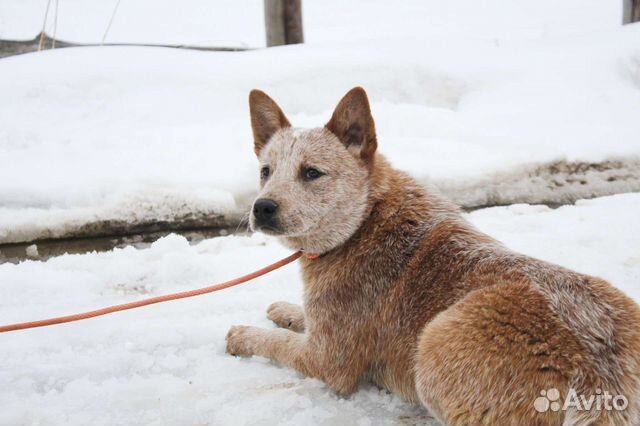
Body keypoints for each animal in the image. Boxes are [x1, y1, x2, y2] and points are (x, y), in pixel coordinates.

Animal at [225, 88, 640, 424]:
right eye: (265, 171)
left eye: (311, 172)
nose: (262, 207)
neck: (363, 221)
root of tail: (601, 372)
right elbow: (298, 317)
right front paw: (285, 309)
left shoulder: (326, 360)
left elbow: (273, 342)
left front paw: (242, 334)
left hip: (433, 342)